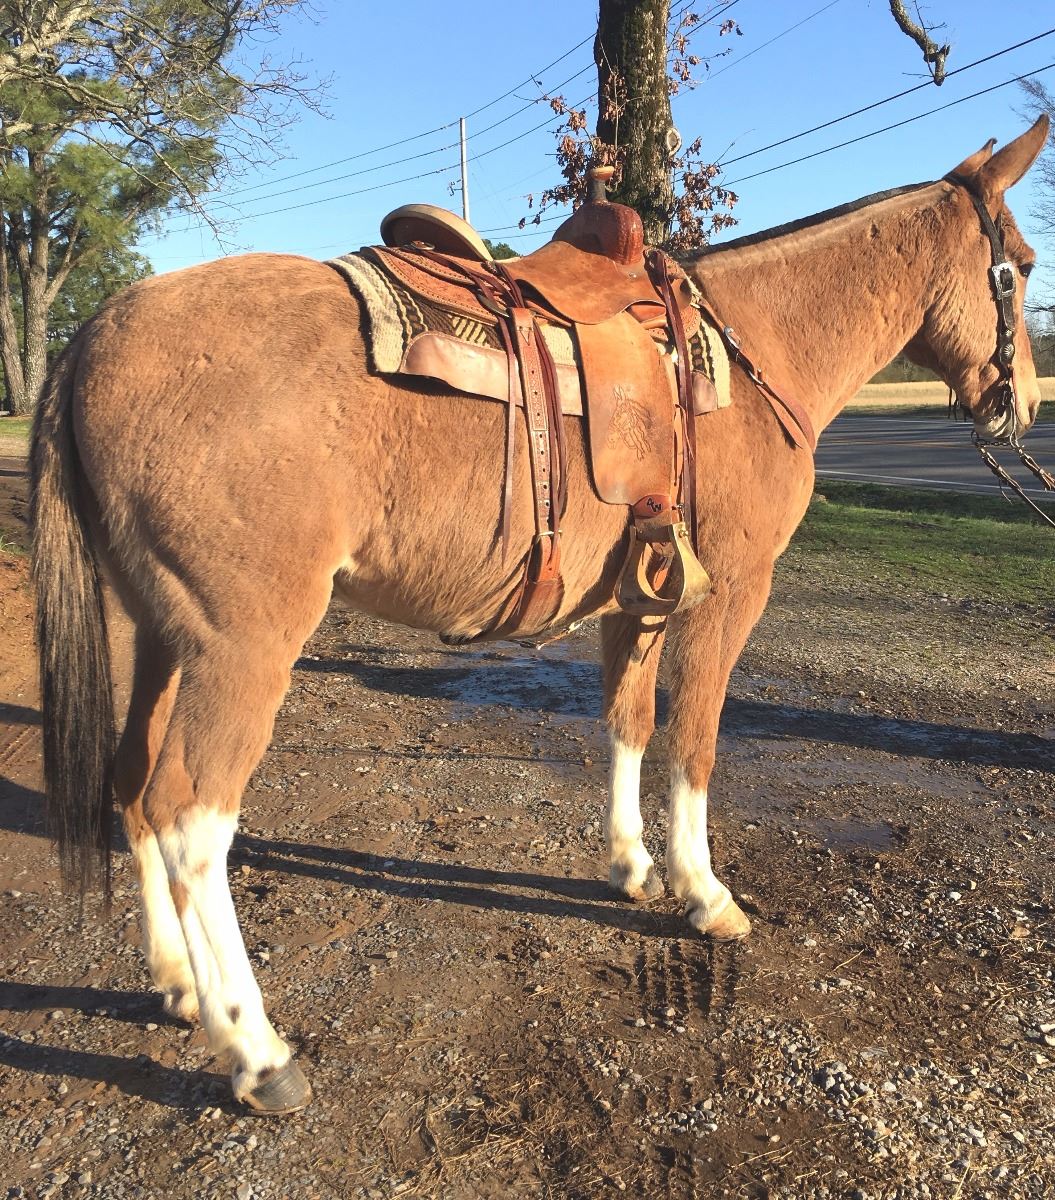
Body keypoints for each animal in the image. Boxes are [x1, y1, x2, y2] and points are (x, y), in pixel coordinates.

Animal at [30, 117, 1048, 1113]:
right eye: (1026, 263)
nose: (1023, 404)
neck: (748, 352)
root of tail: (92, 336)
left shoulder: (639, 596)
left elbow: (628, 723)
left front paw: (632, 866)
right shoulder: (729, 592)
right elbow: (694, 742)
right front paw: (703, 892)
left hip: (157, 635)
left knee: (132, 787)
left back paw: (177, 982)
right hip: (238, 647)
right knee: (190, 822)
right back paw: (254, 1047)